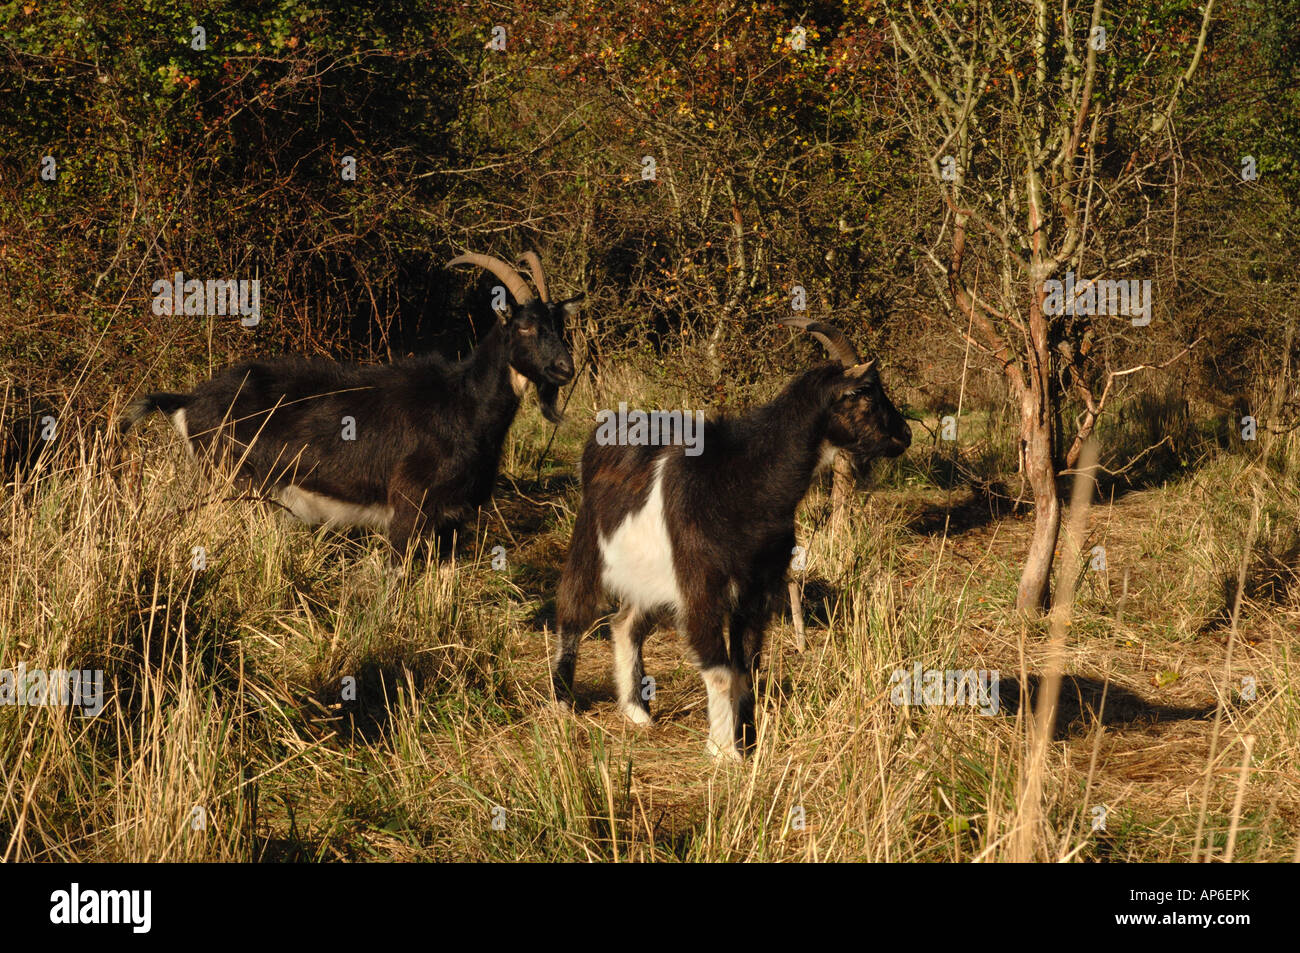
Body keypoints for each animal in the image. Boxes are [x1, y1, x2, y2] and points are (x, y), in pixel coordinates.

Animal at [120, 251, 580, 562]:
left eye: (559, 324)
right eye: (524, 326)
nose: (564, 368)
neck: (463, 403)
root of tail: (189, 401)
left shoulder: (454, 517)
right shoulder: (409, 503)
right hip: (232, 482)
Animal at [552, 317, 911, 759]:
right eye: (866, 394)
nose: (905, 434)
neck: (743, 483)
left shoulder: (756, 593)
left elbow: (747, 668)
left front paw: (748, 738)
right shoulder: (702, 591)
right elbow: (721, 671)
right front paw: (724, 750)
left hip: (651, 574)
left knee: (625, 624)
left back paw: (636, 712)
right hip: (589, 544)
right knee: (572, 609)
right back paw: (563, 704)